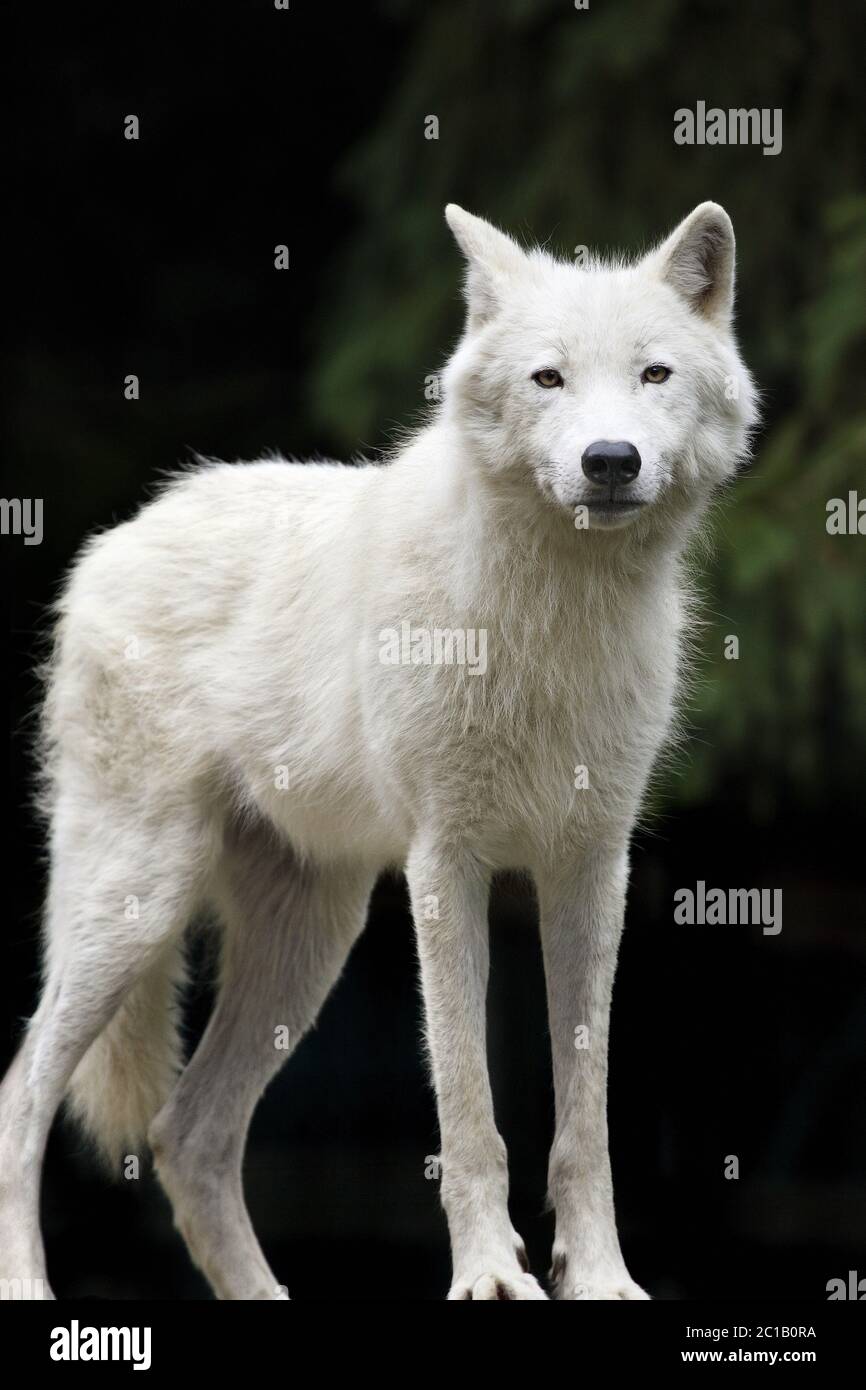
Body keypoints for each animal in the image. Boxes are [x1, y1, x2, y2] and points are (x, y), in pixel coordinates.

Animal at [0, 202, 756, 1300]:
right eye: (548, 378)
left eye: (653, 374)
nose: (610, 459)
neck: (551, 619)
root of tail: (117, 535)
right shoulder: (447, 864)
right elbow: (469, 1108)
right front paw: (490, 1277)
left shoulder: (591, 866)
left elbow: (586, 1118)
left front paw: (601, 1279)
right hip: (134, 907)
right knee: (22, 1095)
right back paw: (28, 1283)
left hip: (311, 941)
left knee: (188, 1134)